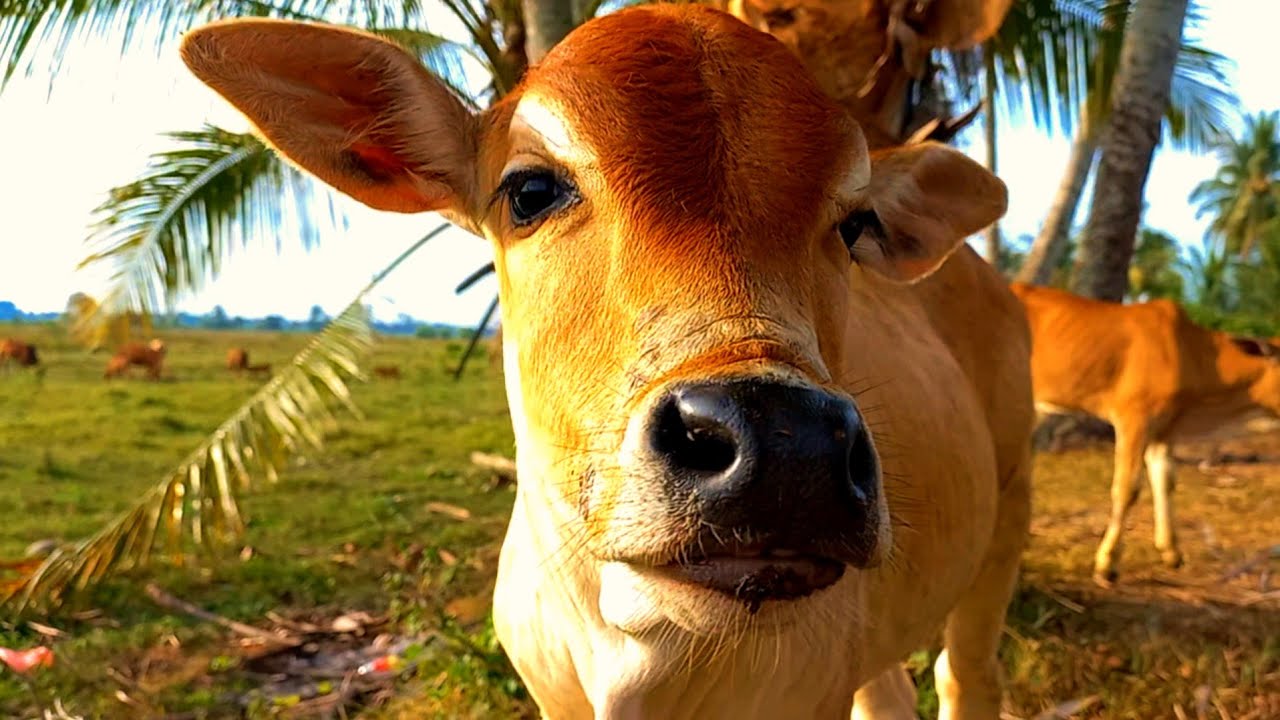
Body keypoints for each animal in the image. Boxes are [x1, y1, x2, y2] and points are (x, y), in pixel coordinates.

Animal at [181, 6, 1032, 718]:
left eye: (856, 226)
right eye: (528, 190)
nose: (788, 448)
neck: (631, 650)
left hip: (1006, 520)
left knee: (966, 676)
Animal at [1010, 282, 1280, 586]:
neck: (1196, 354)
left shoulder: (1164, 429)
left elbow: (1165, 479)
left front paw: (1171, 552)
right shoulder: (1134, 419)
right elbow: (1127, 489)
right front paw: (1107, 564)